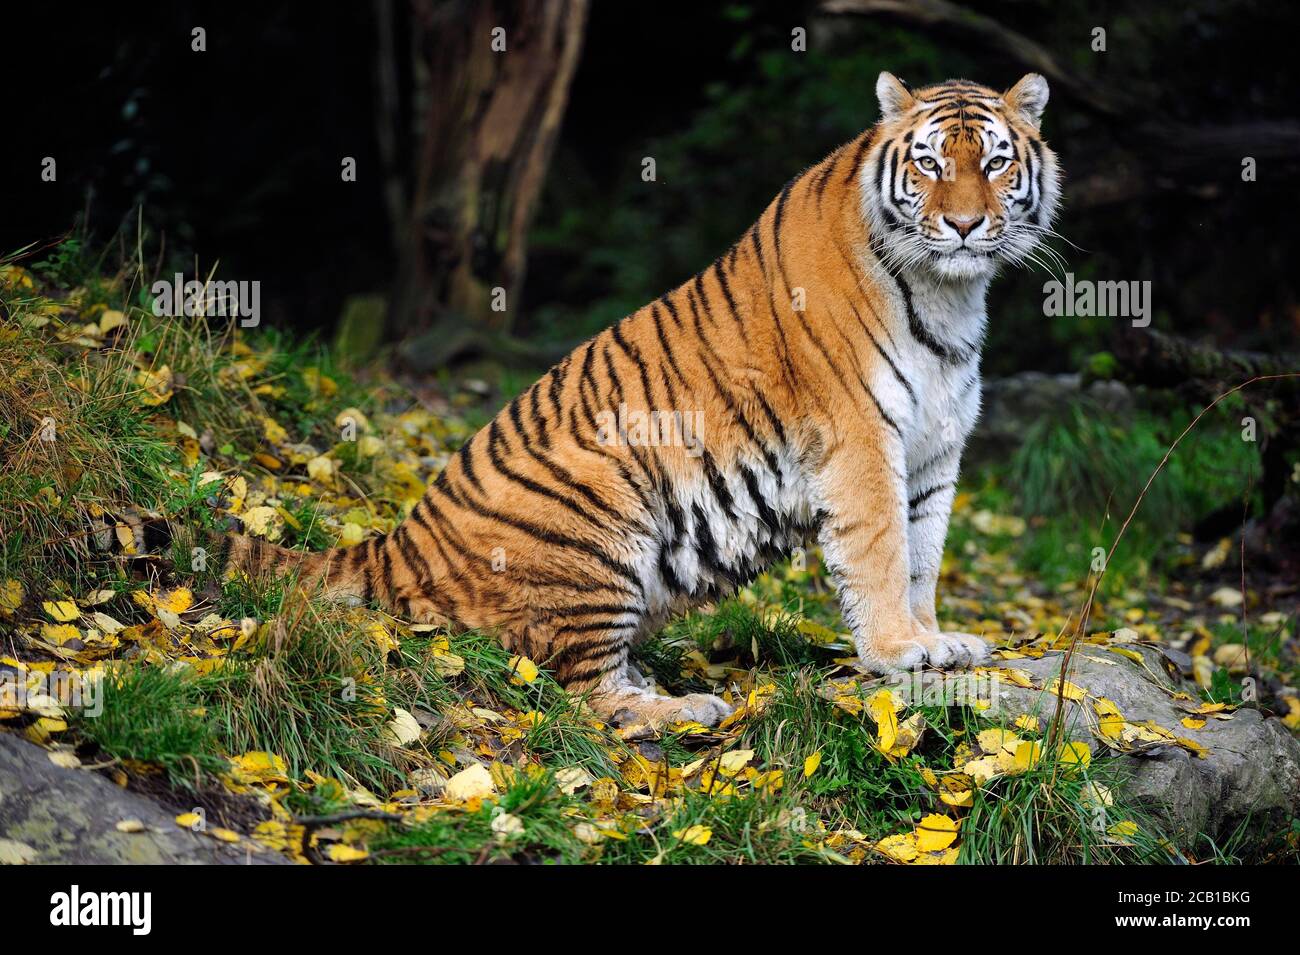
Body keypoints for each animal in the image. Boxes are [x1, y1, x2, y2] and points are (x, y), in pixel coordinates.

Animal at [228, 72, 1061, 727]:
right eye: (928, 163)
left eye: (994, 162)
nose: (963, 224)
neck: (949, 296)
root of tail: (398, 541)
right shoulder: (859, 437)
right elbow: (883, 551)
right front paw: (897, 649)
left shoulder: (935, 449)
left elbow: (923, 554)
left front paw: (937, 638)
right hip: (600, 510)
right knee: (578, 693)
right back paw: (687, 708)